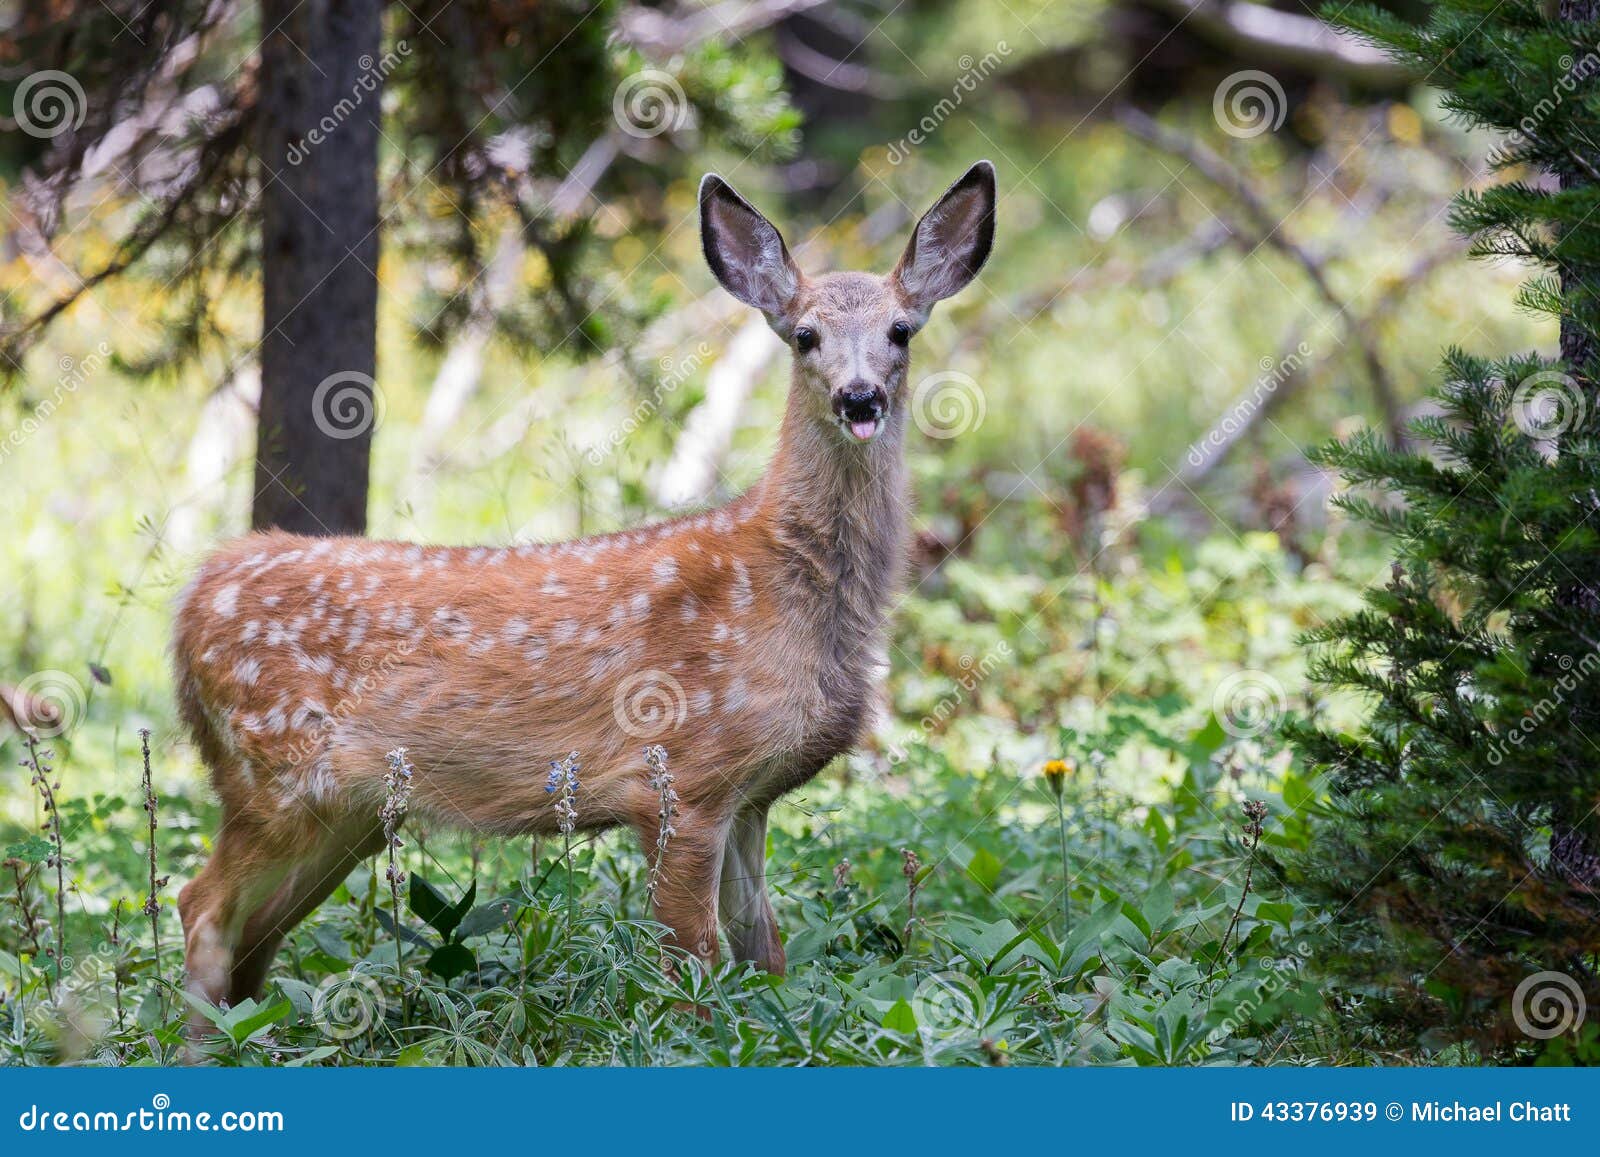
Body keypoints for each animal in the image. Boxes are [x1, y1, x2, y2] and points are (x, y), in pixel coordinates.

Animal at [172, 161, 996, 1010]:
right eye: (805, 335)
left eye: (901, 331)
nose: (859, 398)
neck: (781, 582)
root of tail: (194, 595)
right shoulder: (679, 774)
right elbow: (693, 960)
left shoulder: (751, 796)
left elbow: (764, 951)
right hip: (271, 774)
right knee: (199, 902)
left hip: (347, 814)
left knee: (252, 931)